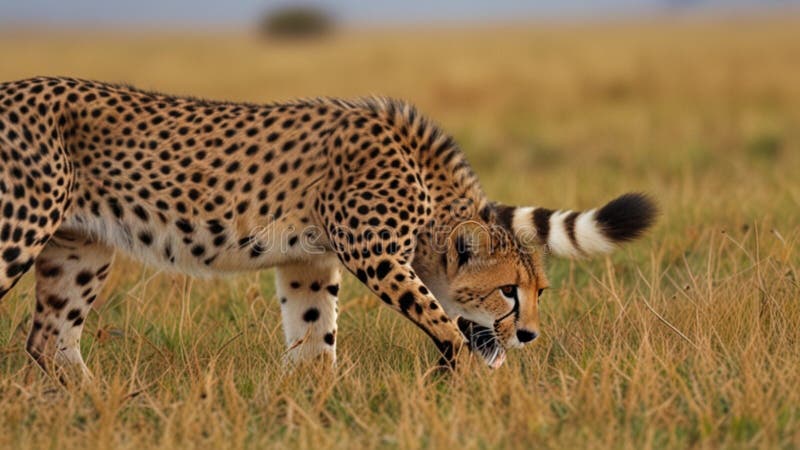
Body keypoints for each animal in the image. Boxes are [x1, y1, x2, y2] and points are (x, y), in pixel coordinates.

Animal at [0, 76, 656, 379]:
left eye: (540, 291)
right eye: (507, 292)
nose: (529, 336)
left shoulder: (308, 261)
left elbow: (315, 337)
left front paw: (313, 399)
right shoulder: (376, 256)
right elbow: (443, 322)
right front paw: (465, 382)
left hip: (80, 247)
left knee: (50, 340)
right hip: (17, 228)